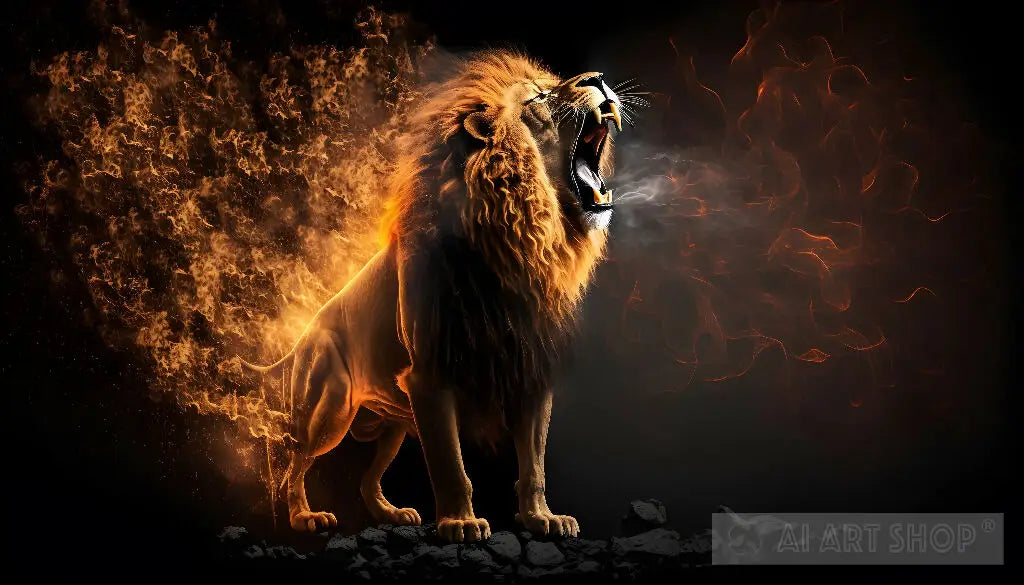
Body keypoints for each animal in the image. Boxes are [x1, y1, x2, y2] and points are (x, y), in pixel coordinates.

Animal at [241, 50, 629, 543]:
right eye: (539, 98)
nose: (598, 78)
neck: (516, 241)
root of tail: (304, 333)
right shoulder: (430, 377)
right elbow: (450, 466)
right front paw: (461, 524)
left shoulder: (531, 372)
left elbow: (534, 465)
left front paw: (542, 518)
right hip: (328, 408)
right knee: (295, 462)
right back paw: (303, 517)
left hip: (392, 423)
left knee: (367, 479)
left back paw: (391, 514)